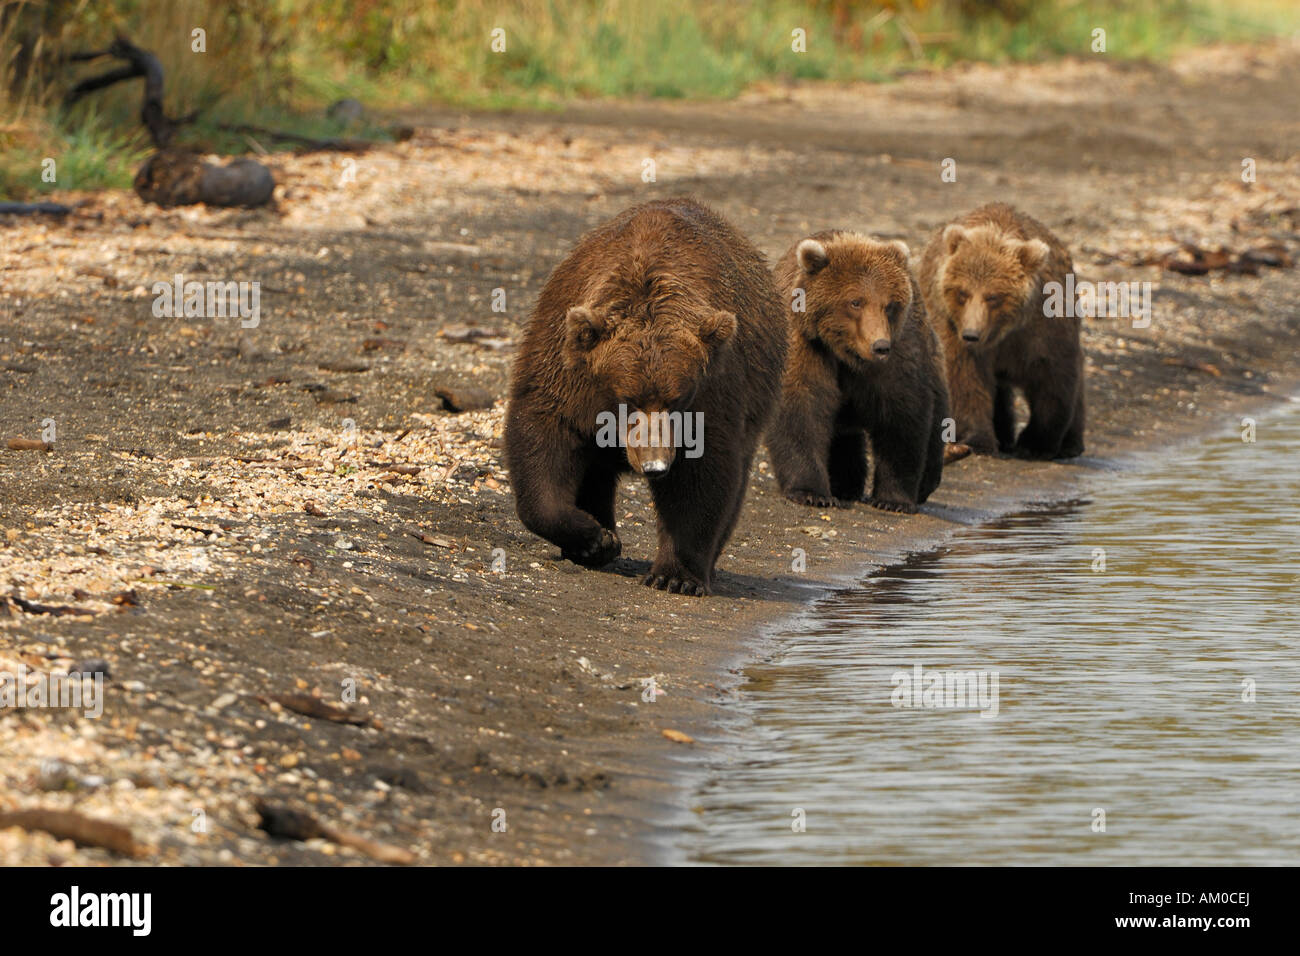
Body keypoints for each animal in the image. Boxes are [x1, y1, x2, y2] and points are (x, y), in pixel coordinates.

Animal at [499, 197, 780, 595]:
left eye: (675, 400)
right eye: (628, 398)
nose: (655, 466)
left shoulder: (713, 394)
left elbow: (702, 478)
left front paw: (675, 575)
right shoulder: (566, 373)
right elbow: (544, 440)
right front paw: (594, 538)